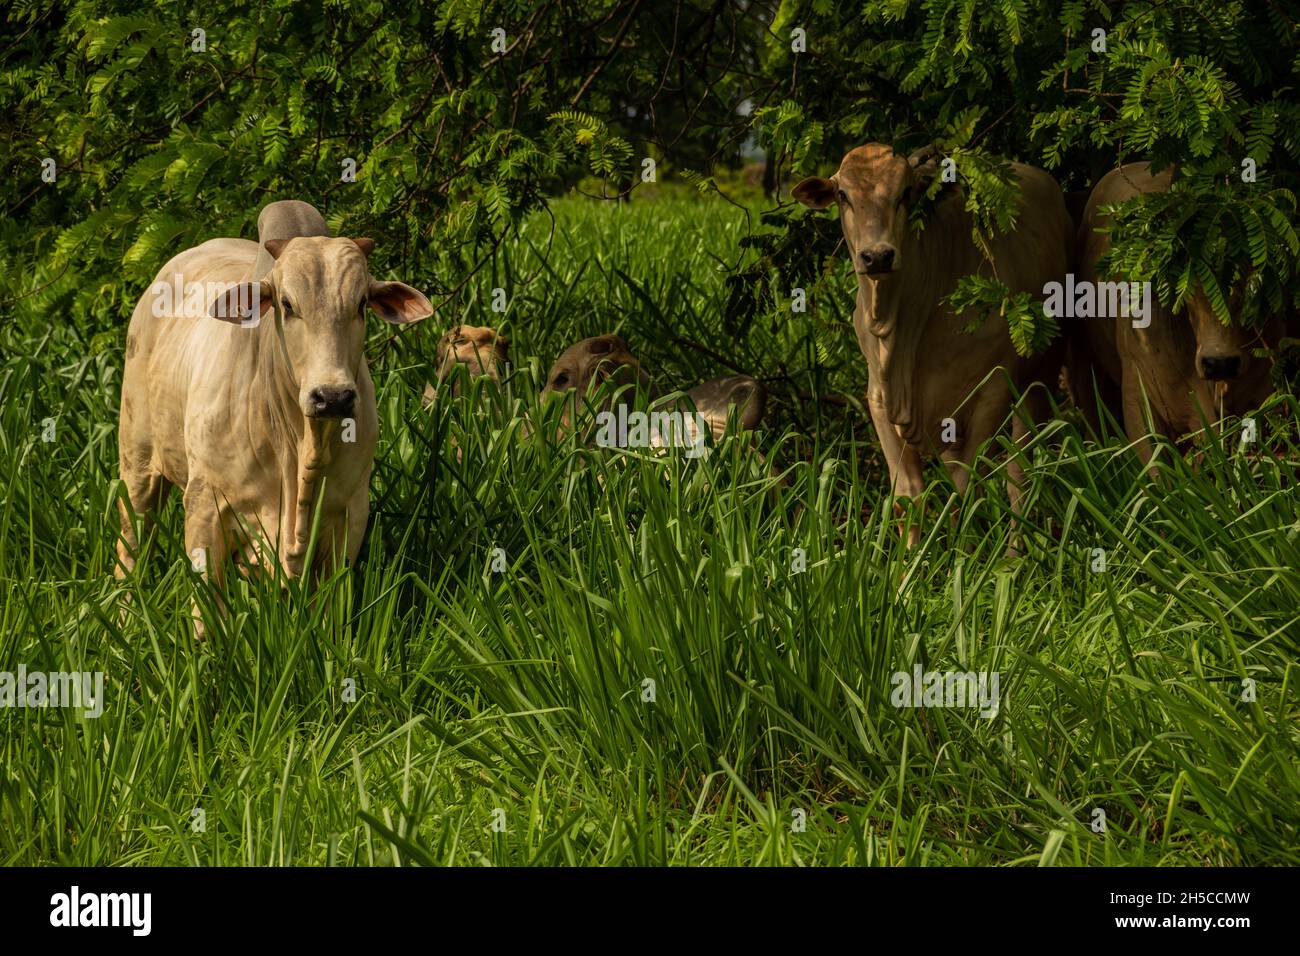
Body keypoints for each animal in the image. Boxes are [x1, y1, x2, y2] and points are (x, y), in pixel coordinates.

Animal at [115, 200, 433, 634]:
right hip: (138, 463)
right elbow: (206, 613)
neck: (301, 445)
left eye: (361, 305)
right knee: (130, 546)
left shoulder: (350, 514)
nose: (332, 396)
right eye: (286, 304)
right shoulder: (203, 504)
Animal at [792, 143, 1072, 546]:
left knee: (1020, 471)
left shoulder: (992, 390)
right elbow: (909, 496)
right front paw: (911, 562)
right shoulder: (879, 398)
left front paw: (958, 555)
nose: (878, 256)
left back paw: (1015, 550)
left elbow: (963, 488)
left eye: (906, 192)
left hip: (1040, 373)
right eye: (843, 194)